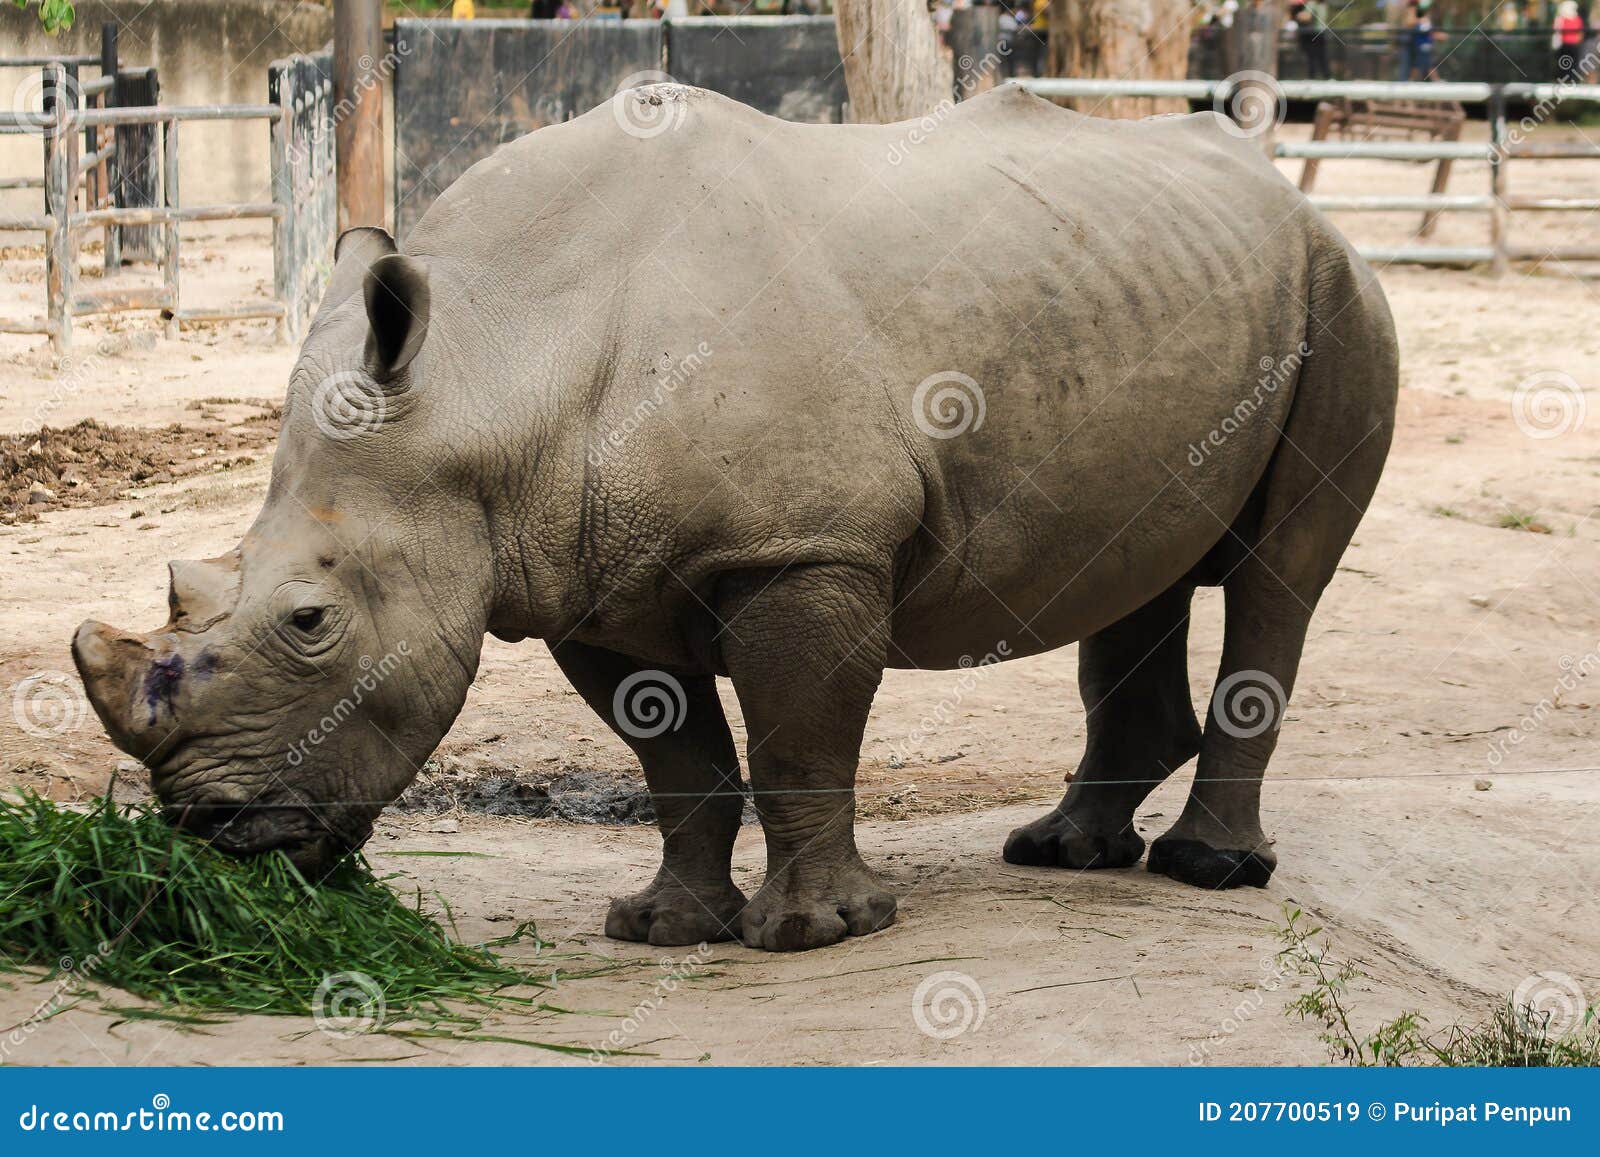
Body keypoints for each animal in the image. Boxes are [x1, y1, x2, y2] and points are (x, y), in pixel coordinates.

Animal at [72, 84, 1396, 951]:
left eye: (309, 620)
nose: (207, 829)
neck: (494, 373)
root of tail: (1279, 181)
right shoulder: (579, 571)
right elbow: (679, 759)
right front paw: (662, 927)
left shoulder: (805, 546)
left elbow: (799, 736)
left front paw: (815, 932)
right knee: (1141, 567)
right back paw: (1063, 850)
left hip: (1340, 289)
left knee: (1280, 575)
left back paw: (1209, 869)